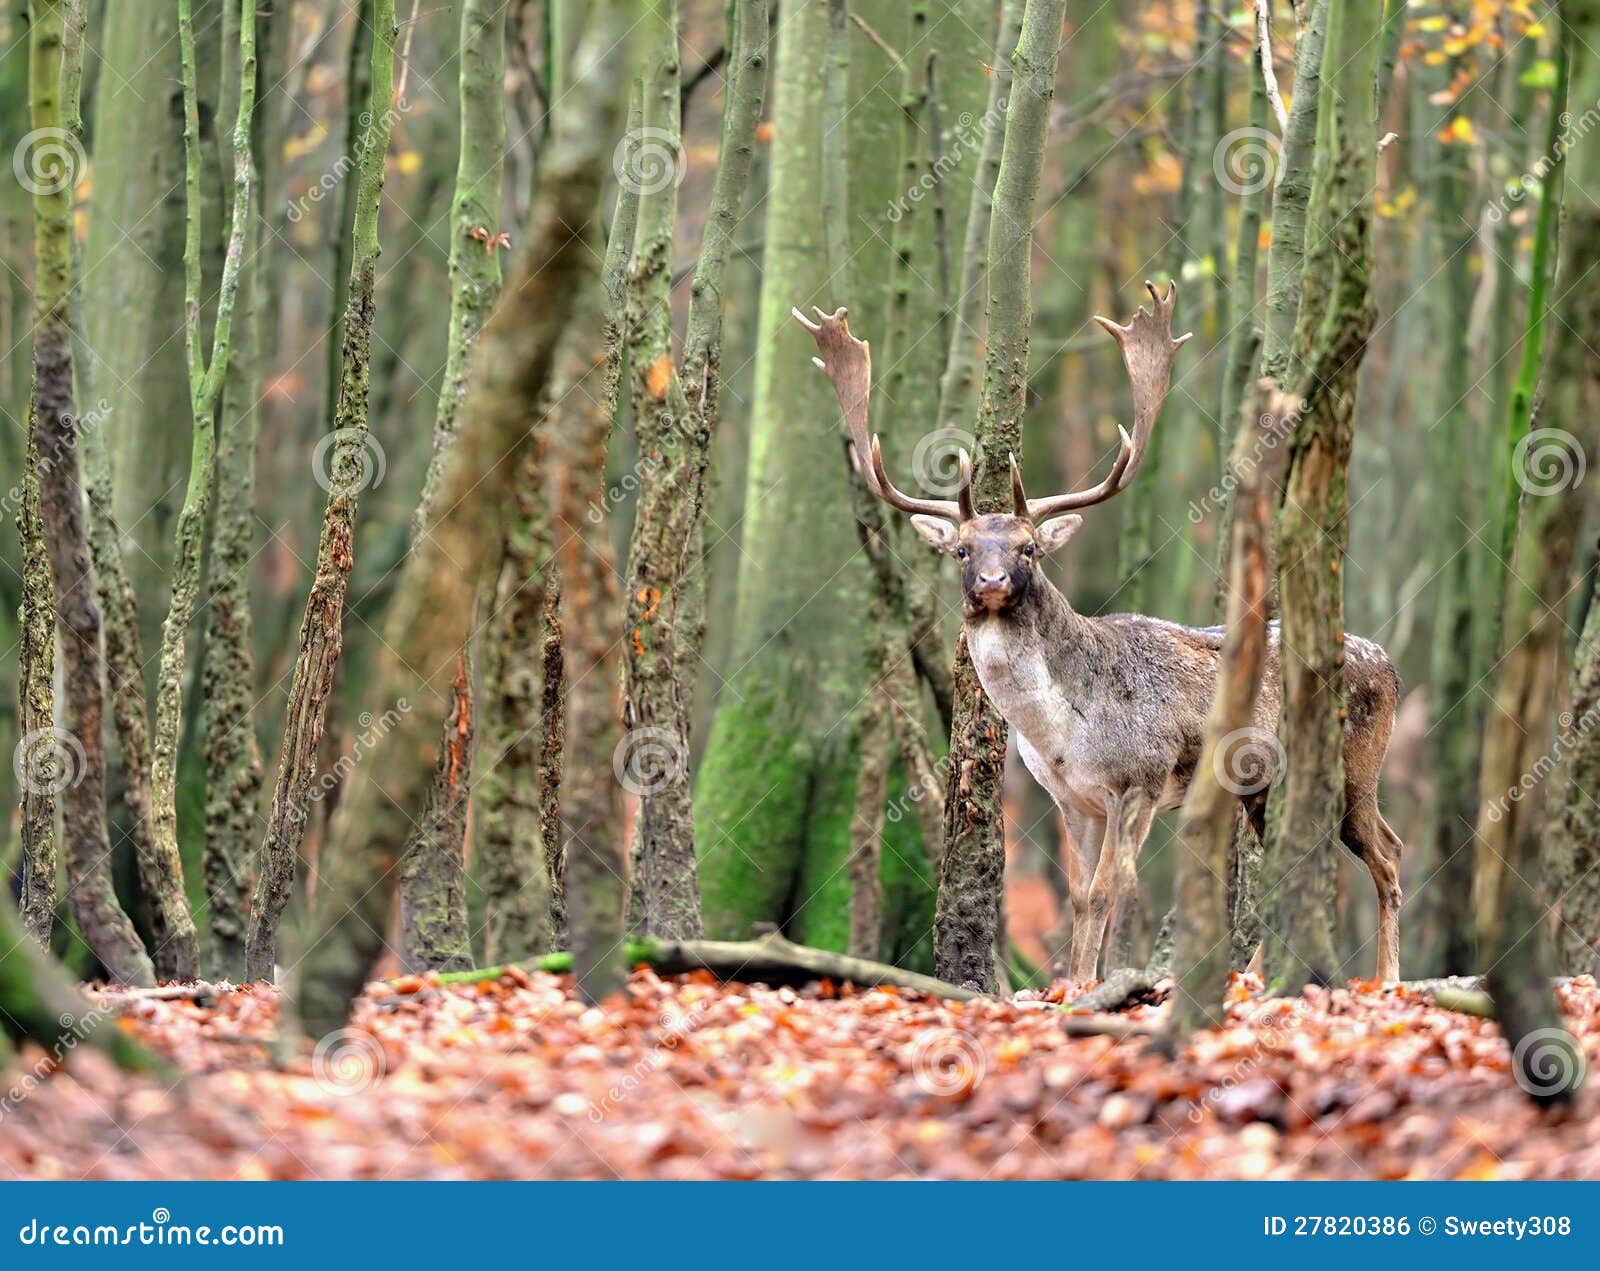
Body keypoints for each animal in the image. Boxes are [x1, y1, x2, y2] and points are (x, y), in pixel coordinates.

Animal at [794, 283, 1404, 985]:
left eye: (1029, 549)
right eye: (962, 550)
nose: (993, 581)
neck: (1061, 734)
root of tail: (1391, 665)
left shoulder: (1140, 777)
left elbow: (1119, 888)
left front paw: (1104, 981)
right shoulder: (1072, 800)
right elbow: (1085, 896)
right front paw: (1075, 983)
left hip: (1355, 763)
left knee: (1385, 854)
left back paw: (1384, 977)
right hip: (1267, 785)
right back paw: (1258, 975)